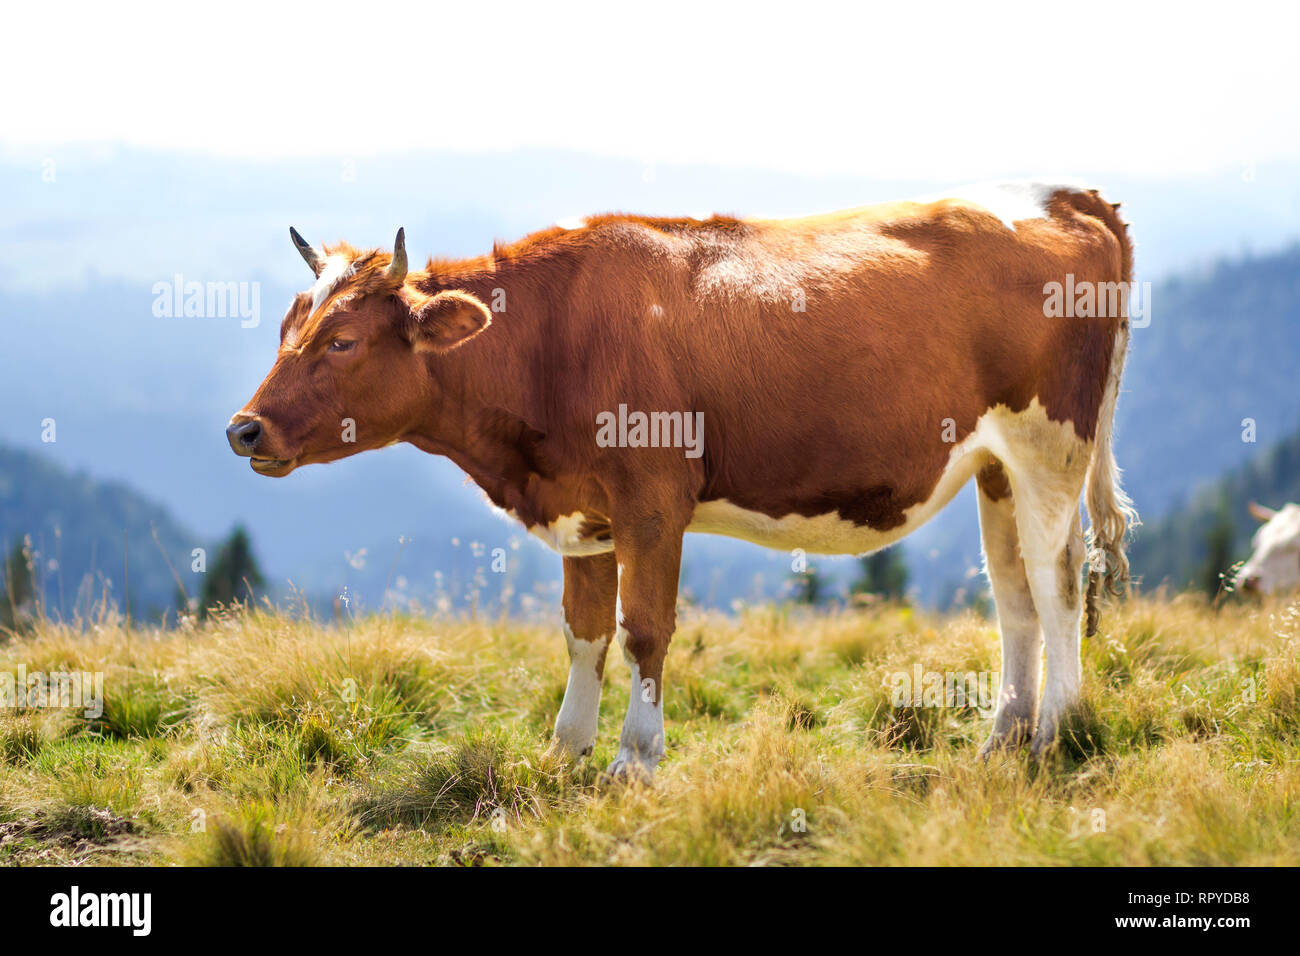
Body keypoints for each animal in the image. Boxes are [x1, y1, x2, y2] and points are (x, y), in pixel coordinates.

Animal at [227, 181, 1138, 777]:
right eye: (287, 327)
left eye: (342, 341)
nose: (244, 429)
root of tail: (1063, 196)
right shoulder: (583, 512)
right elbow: (583, 632)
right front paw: (564, 750)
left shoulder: (653, 502)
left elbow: (644, 631)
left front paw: (635, 758)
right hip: (995, 466)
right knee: (1013, 592)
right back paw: (1002, 737)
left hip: (1048, 446)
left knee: (1058, 583)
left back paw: (1056, 733)